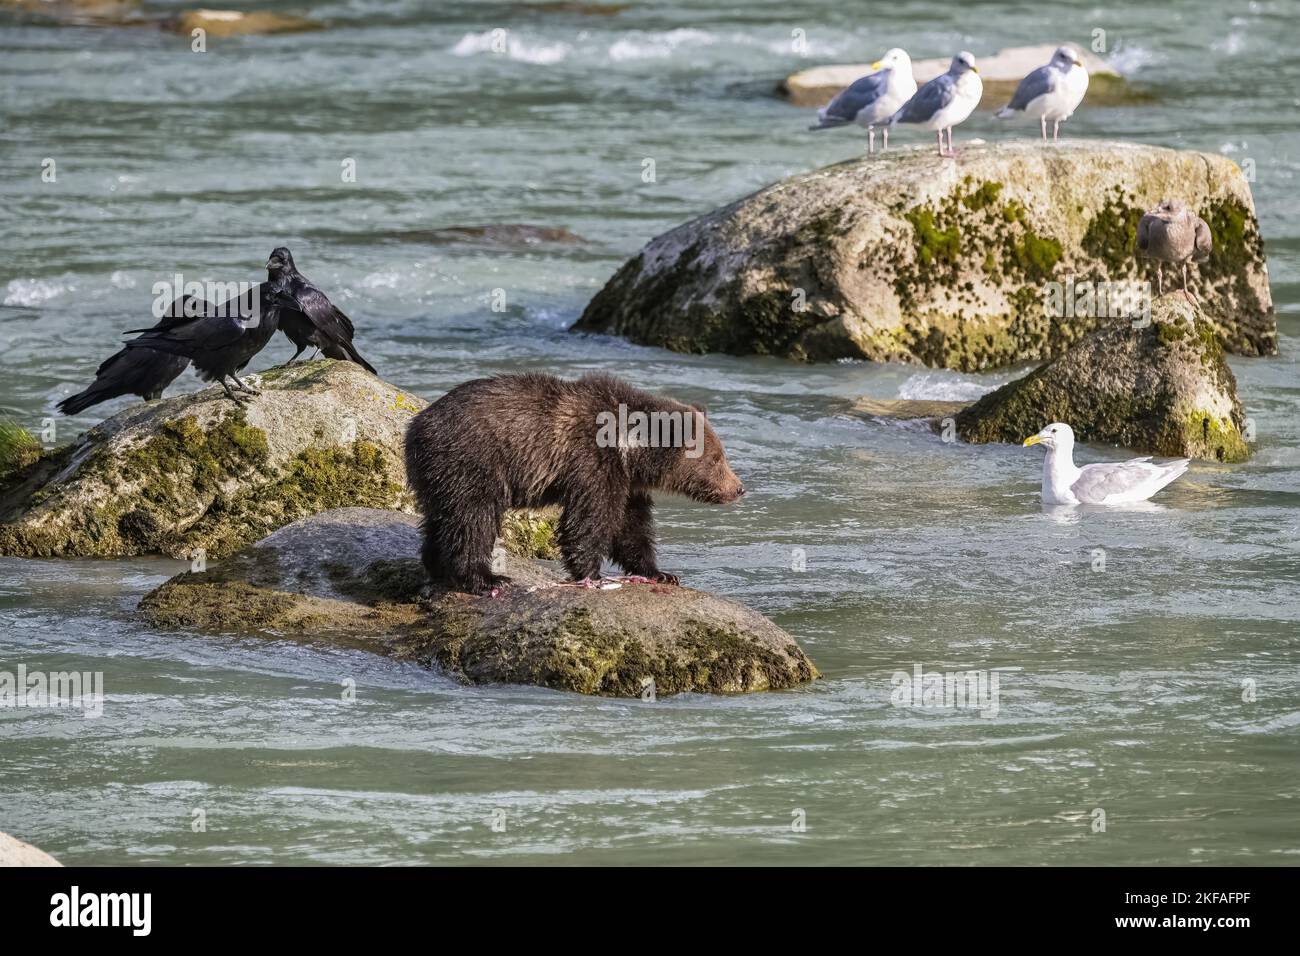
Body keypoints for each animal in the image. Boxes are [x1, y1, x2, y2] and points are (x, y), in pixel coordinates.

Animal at [404, 372, 745, 594]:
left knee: (442, 519)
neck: (629, 448)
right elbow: (588, 520)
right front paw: (592, 574)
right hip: (472, 461)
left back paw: (436, 566)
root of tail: (415, 426)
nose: (739, 487)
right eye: (717, 459)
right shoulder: (591, 464)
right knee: (473, 519)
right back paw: (486, 578)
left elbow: (630, 527)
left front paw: (661, 573)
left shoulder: (627, 482)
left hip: (439, 475)